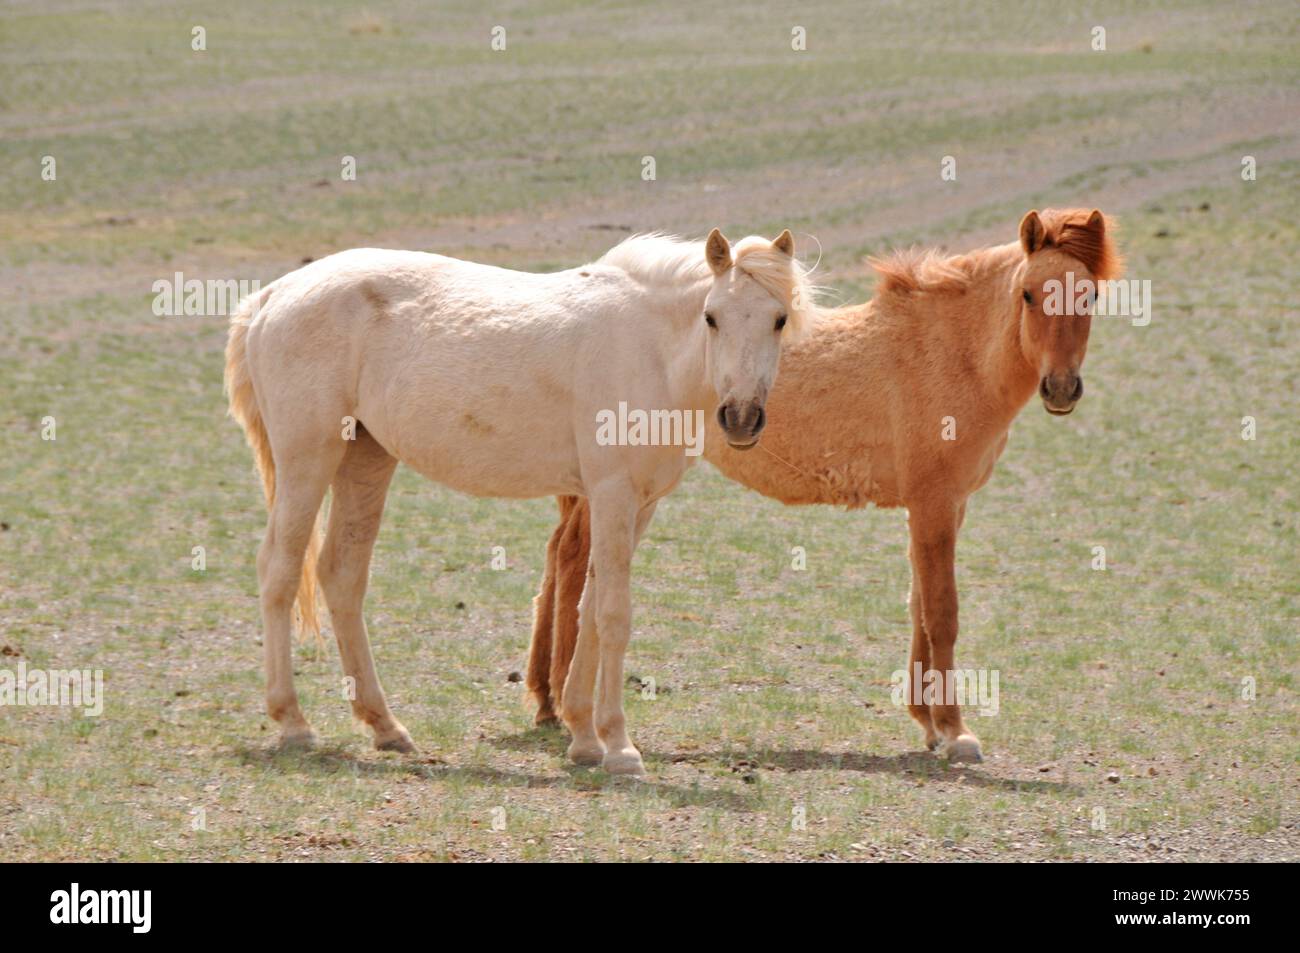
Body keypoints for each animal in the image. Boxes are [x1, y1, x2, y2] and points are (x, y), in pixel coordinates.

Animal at [224, 228, 824, 776]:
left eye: (778, 319)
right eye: (711, 317)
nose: (741, 418)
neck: (651, 349)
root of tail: (273, 296)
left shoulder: (637, 505)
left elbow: (588, 609)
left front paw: (583, 736)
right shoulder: (613, 495)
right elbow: (613, 614)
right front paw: (619, 746)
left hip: (365, 459)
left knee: (342, 575)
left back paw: (385, 727)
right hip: (308, 459)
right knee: (280, 571)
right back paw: (293, 723)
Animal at [527, 209, 1123, 763]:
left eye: (1090, 295)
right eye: (1028, 294)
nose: (1061, 388)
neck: (949, 353)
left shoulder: (946, 506)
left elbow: (918, 607)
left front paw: (928, 723)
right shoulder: (933, 504)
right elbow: (942, 614)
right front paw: (957, 733)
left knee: (561, 557)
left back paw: (547, 700)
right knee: (573, 559)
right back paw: (563, 706)